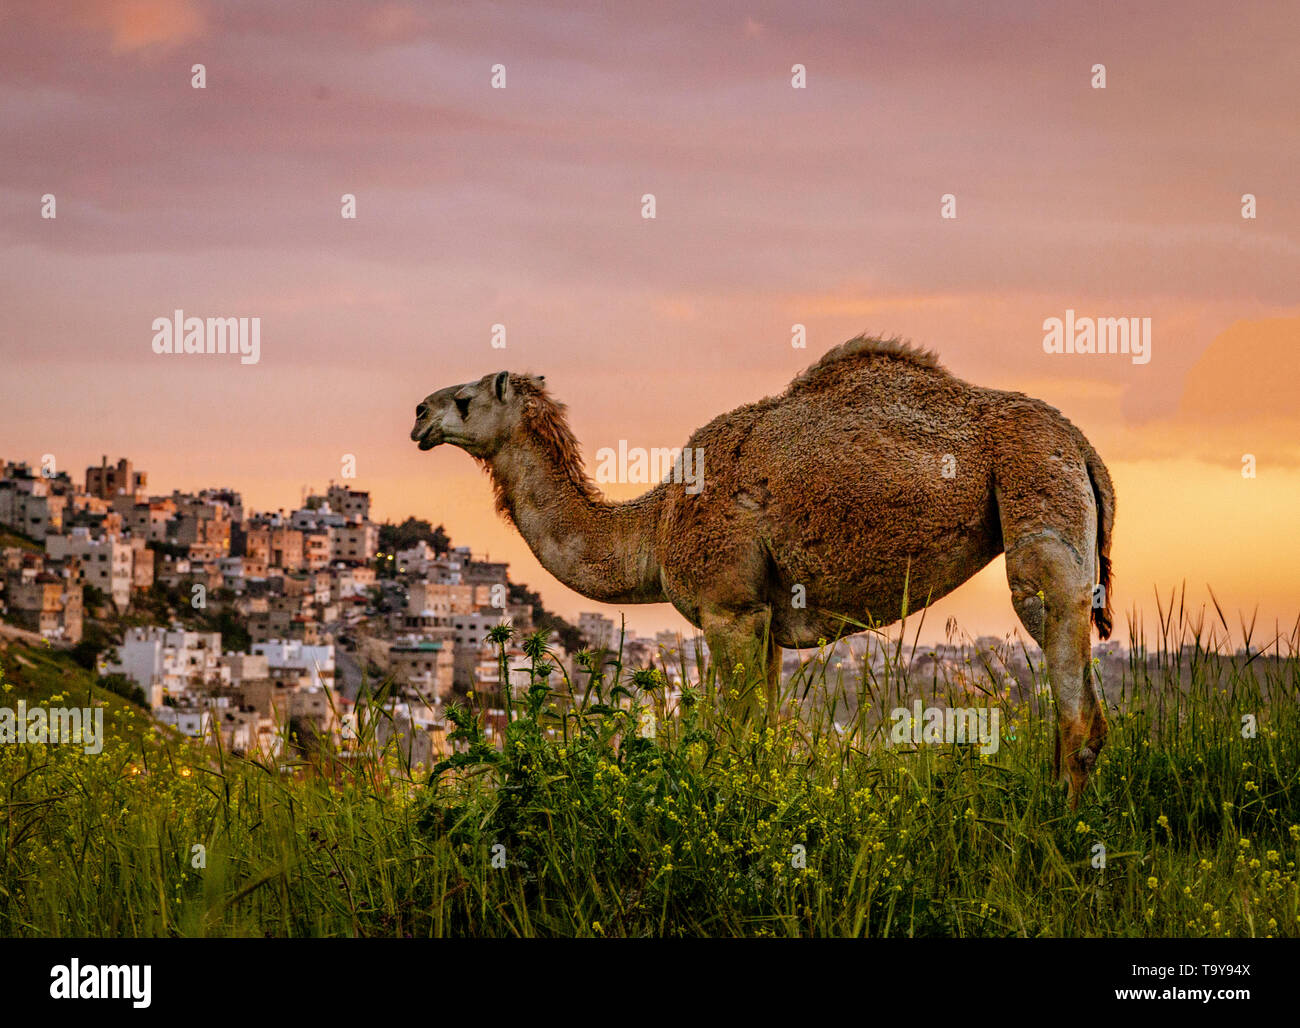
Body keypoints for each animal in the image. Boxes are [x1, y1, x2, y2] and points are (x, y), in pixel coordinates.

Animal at [410, 335, 1116, 806]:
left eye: (465, 398)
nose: (419, 413)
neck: (654, 524)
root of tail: (1083, 447)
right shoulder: (767, 620)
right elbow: (765, 739)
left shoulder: (730, 610)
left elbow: (736, 740)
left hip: (1038, 504)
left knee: (1071, 690)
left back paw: (1062, 834)